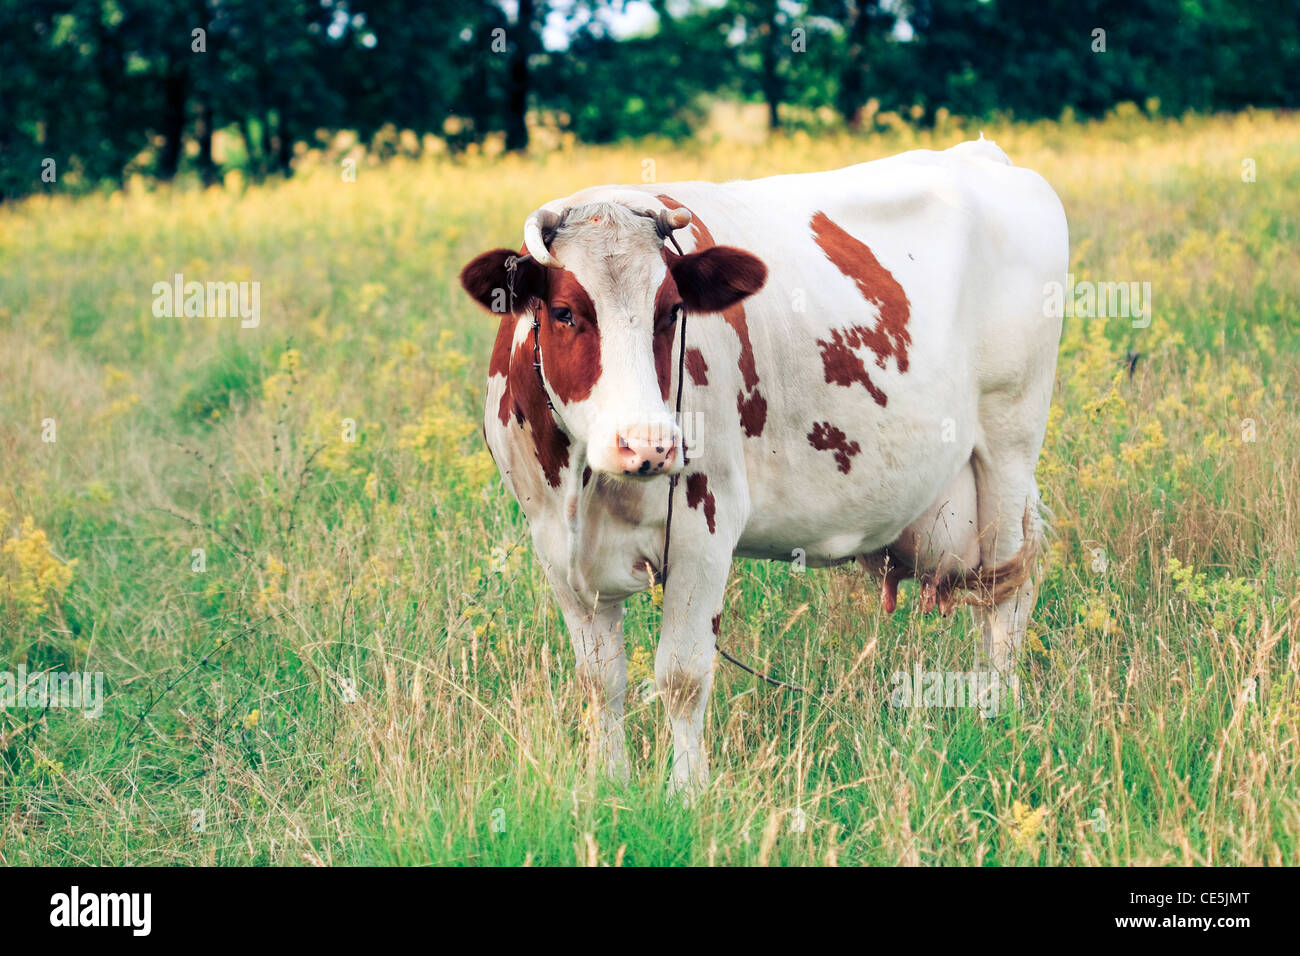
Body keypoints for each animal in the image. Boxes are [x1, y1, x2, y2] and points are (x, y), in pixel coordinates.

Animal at [460, 137, 1067, 792]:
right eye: (566, 312)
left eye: (671, 310)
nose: (647, 445)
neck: (587, 484)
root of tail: (981, 153)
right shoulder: (555, 548)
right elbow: (602, 681)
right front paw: (610, 784)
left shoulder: (702, 530)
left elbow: (682, 674)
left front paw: (687, 793)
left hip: (1008, 450)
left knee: (1006, 600)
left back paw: (995, 717)